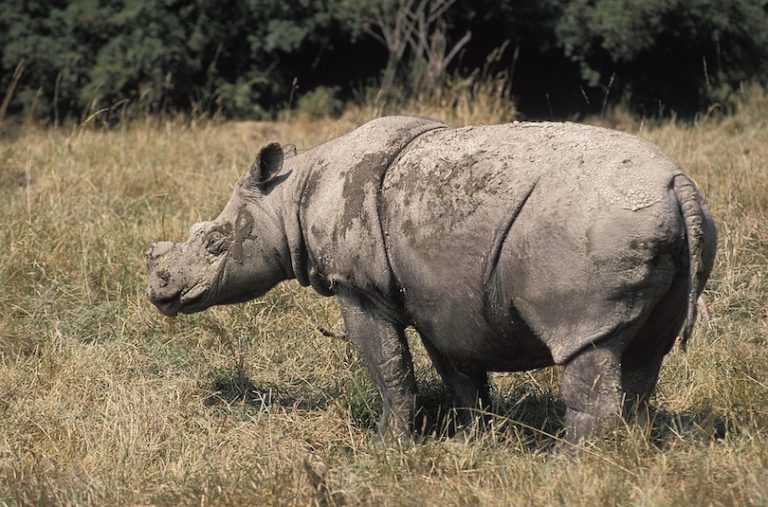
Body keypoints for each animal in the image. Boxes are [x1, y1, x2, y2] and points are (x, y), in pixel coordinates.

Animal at [146, 116, 716, 445]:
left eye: (216, 243)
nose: (159, 291)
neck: (290, 196)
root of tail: (679, 185)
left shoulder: (359, 287)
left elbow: (389, 367)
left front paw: (387, 449)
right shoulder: (440, 295)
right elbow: (458, 372)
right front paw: (474, 442)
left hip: (595, 226)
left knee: (585, 344)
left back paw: (573, 465)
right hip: (678, 228)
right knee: (644, 353)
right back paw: (629, 454)